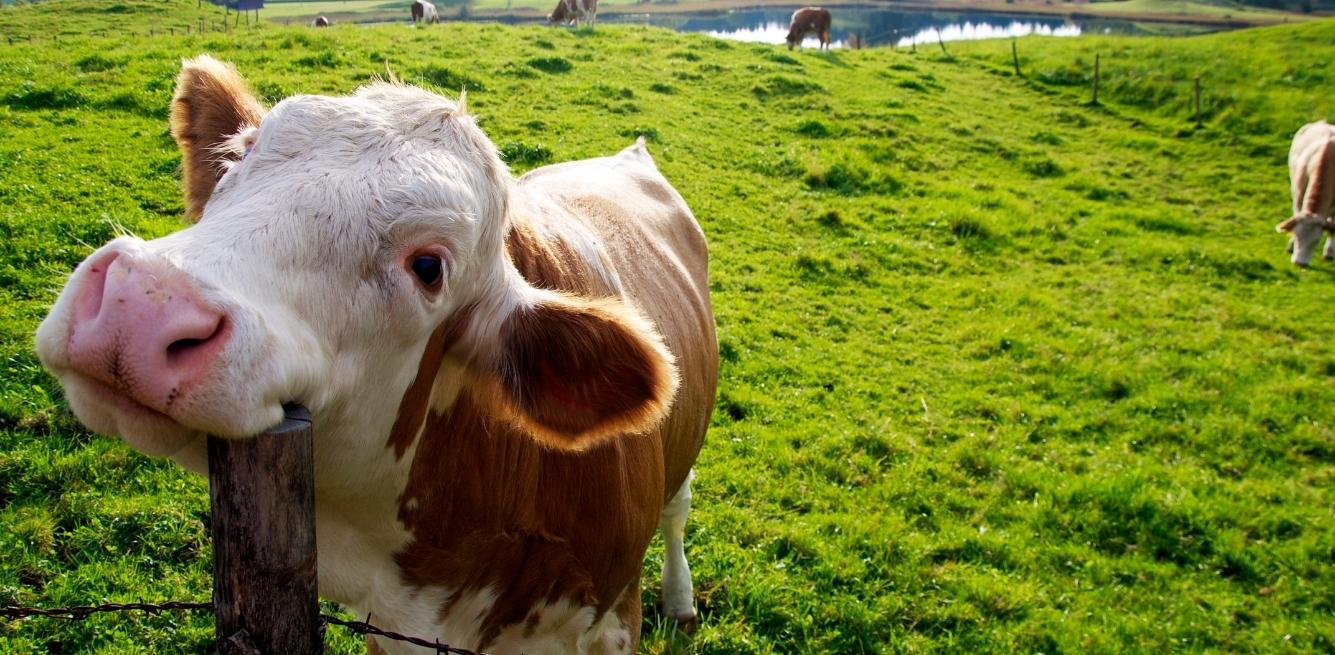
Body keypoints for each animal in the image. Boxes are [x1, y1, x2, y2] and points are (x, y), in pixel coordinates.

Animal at [35, 55, 717, 654]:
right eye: (241, 157)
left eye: (429, 267)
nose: (141, 302)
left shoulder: (612, 618)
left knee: (677, 511)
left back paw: (681, 599)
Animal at [1278, 120, 1335, 266]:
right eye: (1297, 234)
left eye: (1316, 241)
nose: (1299, 263)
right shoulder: (1298, 192)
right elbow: (1297, 213)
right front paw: (1291, 245)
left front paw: (1329, 252)